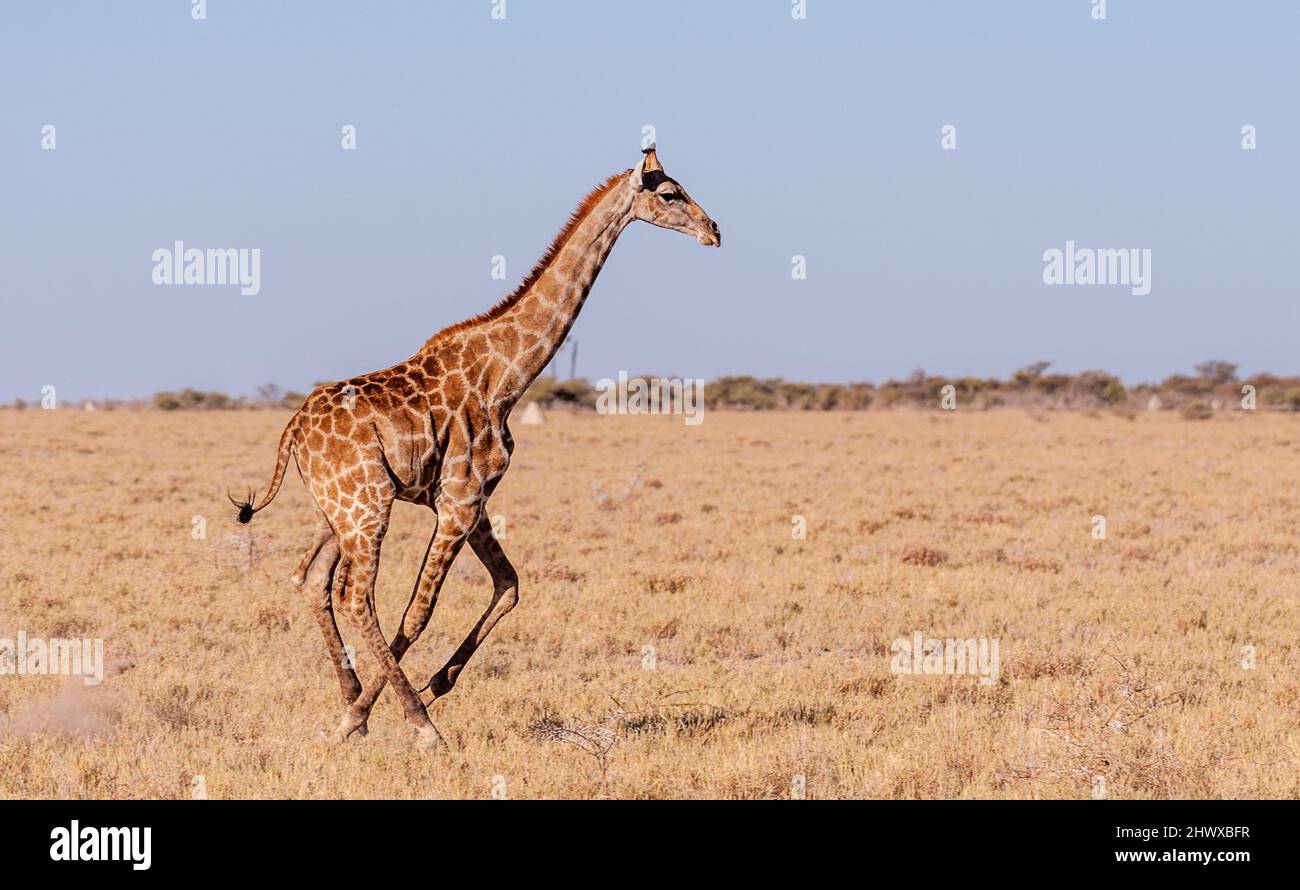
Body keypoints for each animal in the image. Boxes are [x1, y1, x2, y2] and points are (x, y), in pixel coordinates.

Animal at [231, 145, 720, 748]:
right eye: (670, 193)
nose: (714, 230)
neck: (507, 378)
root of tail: (293, 430)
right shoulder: (459, 500)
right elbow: (418, 612)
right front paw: (405, 718)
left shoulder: (474, 499)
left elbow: (508, 585)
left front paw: (433, 684)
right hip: (365, 507)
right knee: (354, 594)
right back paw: (395, 717)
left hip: (336, 511)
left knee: (311, 579)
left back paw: (352, 695)